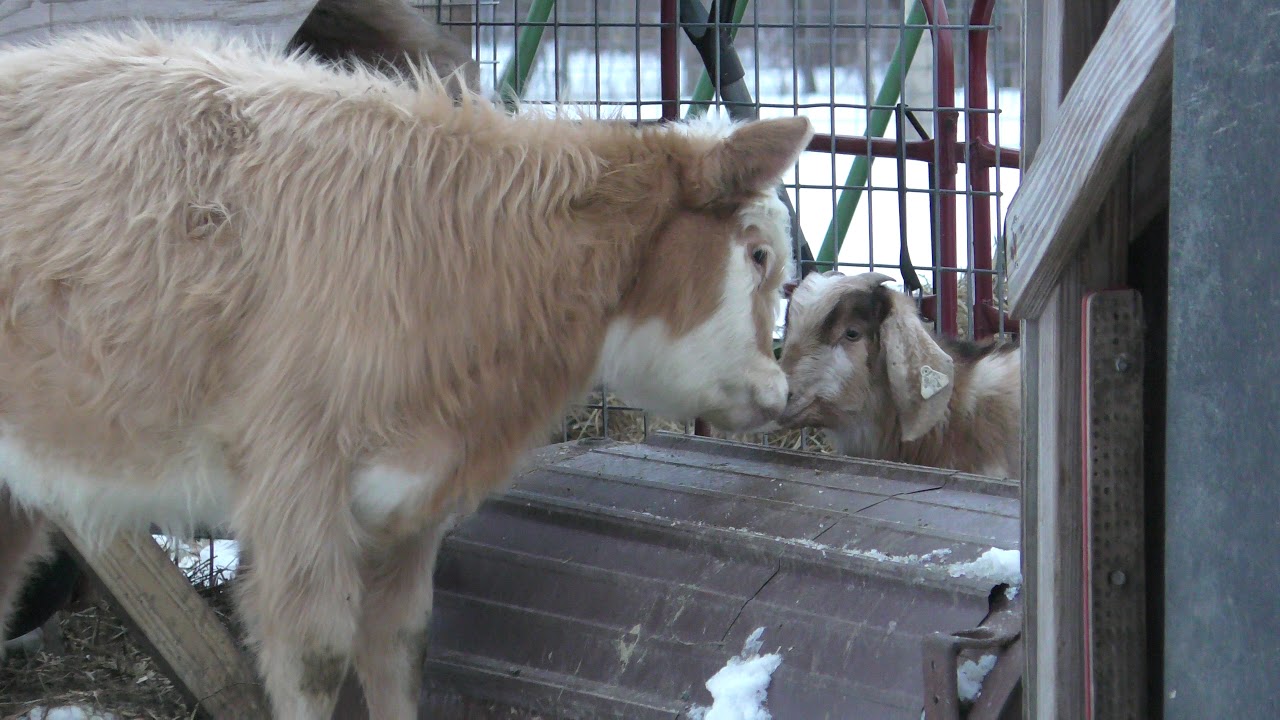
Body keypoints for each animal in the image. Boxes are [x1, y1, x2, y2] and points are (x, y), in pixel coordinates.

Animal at [0, 27, 811, 720]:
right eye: (759, 256)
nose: (781, 394)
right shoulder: (297, 485)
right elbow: (317, 659)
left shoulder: (411, 507)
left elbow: (402, 650)